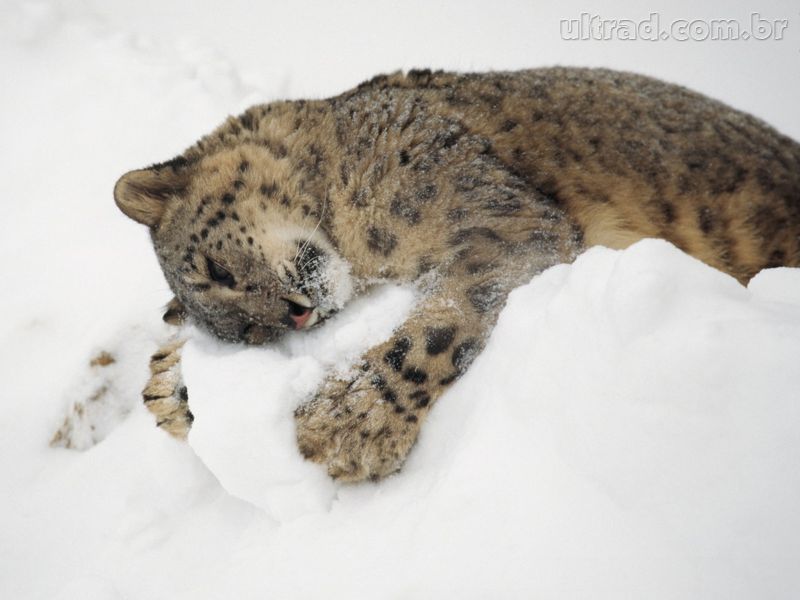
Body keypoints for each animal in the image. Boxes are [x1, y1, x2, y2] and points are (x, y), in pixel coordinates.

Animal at [111, 67, 800, 482]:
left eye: (215, 269)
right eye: (248, 336)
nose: (296, 315)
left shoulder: (503, 223)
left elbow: (440, 324)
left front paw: (344, 425)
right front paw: (172, 388)